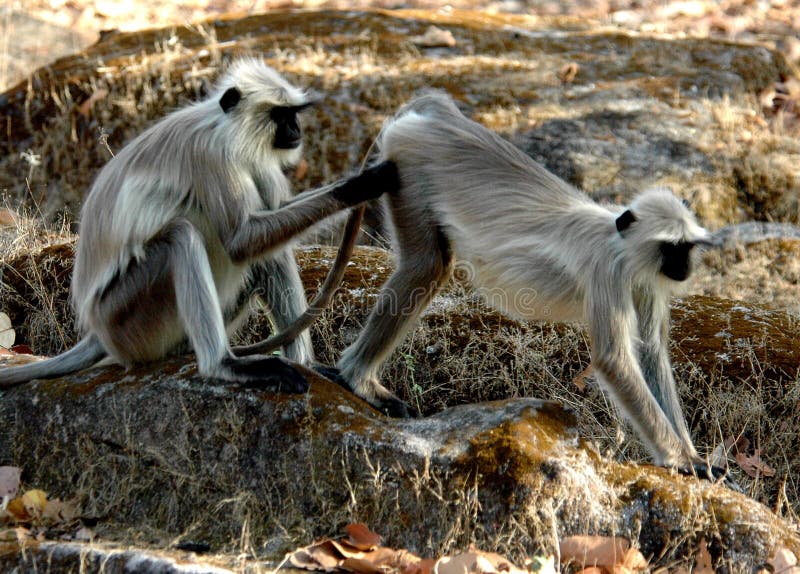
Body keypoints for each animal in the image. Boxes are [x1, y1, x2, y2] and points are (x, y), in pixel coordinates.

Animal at [0, 58, 397, 391]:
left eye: (294, 114)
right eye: (280, 114)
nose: (296, 129)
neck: (228, 130)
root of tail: (97, 331)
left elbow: (269, 221)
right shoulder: (212, 153)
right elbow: (240, 240)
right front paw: (362, 184)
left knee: (270, 251)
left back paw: (306, 366)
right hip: (124, 315)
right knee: (183, 236)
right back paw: (223, 366)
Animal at [320, 91, 732, 483]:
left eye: (687, 247)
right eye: (671, 248)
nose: (684, 268)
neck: (620, 246)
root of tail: (444, 117)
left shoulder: (646, 282)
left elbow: (649, 352)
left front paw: (694, 457)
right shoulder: (607, 272)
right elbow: (615, 360)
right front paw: (681, 460)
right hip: (412, 167)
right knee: (426, 267)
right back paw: (360, 380)